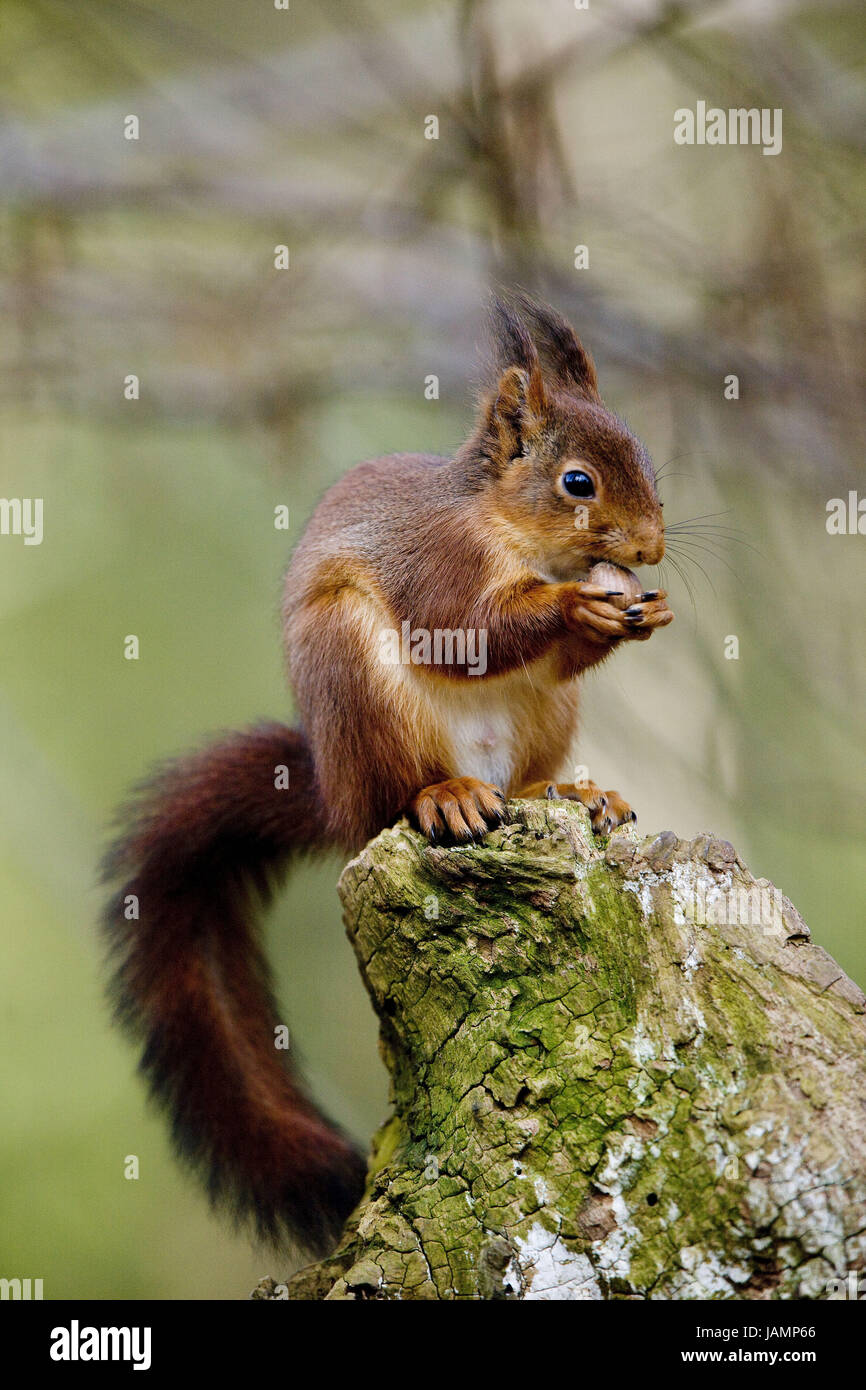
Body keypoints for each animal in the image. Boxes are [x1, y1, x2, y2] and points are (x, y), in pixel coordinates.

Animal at [101, 292, 672, 1257]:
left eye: (647, 458)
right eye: (578, 484)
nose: (654, 548)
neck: (508, 532)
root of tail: (333, 789)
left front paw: (637, 614)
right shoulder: (435, 565)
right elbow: (467, 628)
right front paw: (575, 607)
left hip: (546, 721)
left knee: (522, 778)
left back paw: (566, 791)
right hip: (358, 684)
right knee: (397, 798)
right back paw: (444, 798)